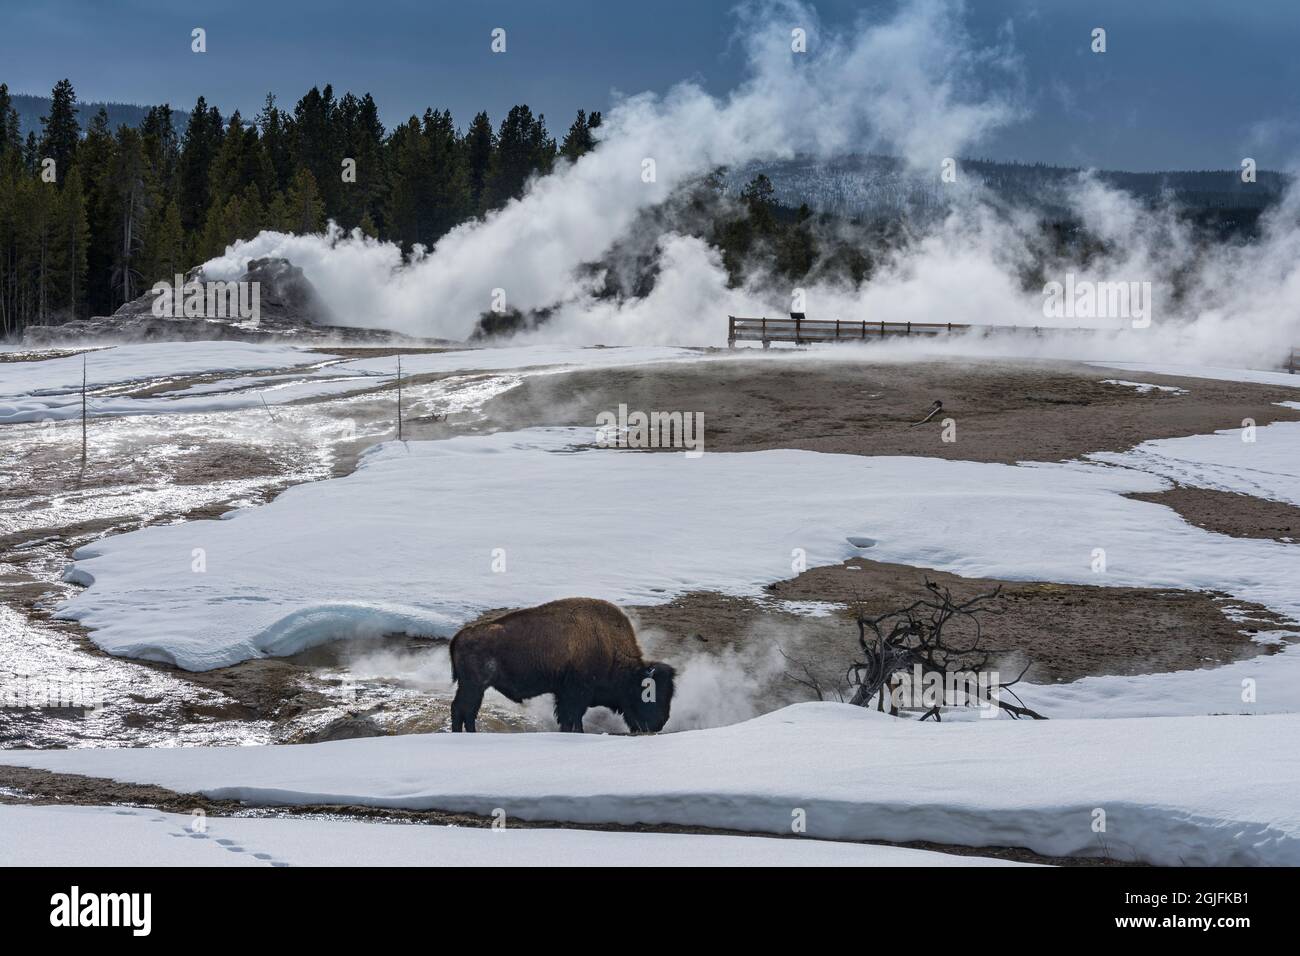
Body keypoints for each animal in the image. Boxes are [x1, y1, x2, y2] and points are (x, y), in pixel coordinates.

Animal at [449, 597, 676, 733]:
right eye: (649, 692)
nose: (659, 723)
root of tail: (460, 635)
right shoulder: (575, 694)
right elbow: (572, 717)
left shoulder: (564, 694)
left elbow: (568, 719)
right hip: (474, 686)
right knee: (464, 710)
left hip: (471, 687)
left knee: (464, 710)